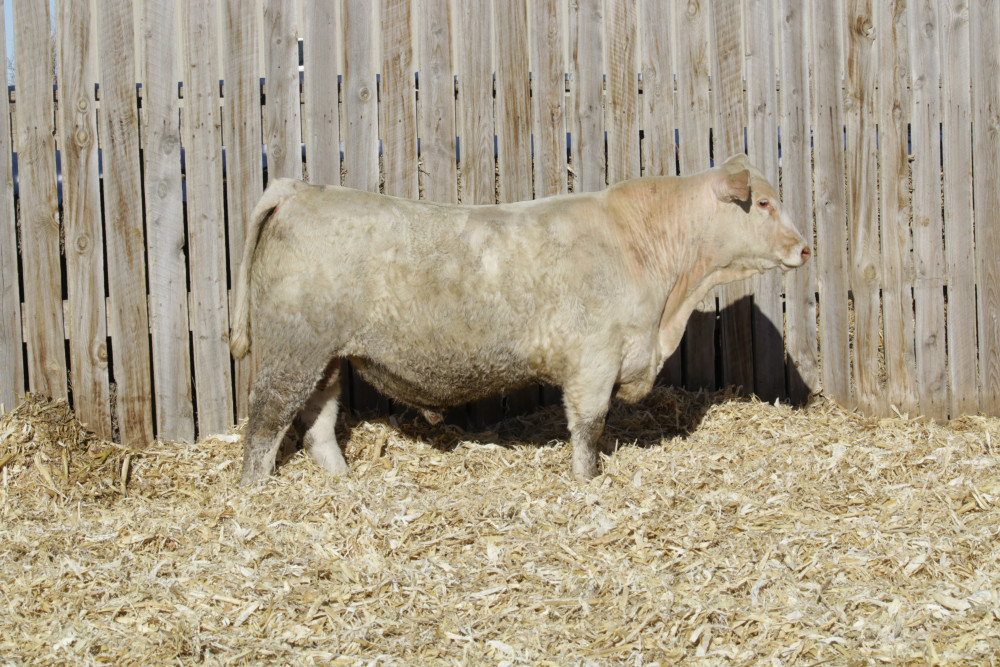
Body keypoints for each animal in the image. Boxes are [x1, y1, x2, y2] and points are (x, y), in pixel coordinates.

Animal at [230, 153, 811, 485]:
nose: (805, 248)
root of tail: (300, 189)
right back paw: (255, 494)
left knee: (317, 421)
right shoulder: (593, 362)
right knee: (265, 424)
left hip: (325, 356)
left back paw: (343, 483)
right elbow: (589, 429)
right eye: (763, 203)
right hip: (291, 350)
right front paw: (587, 483)